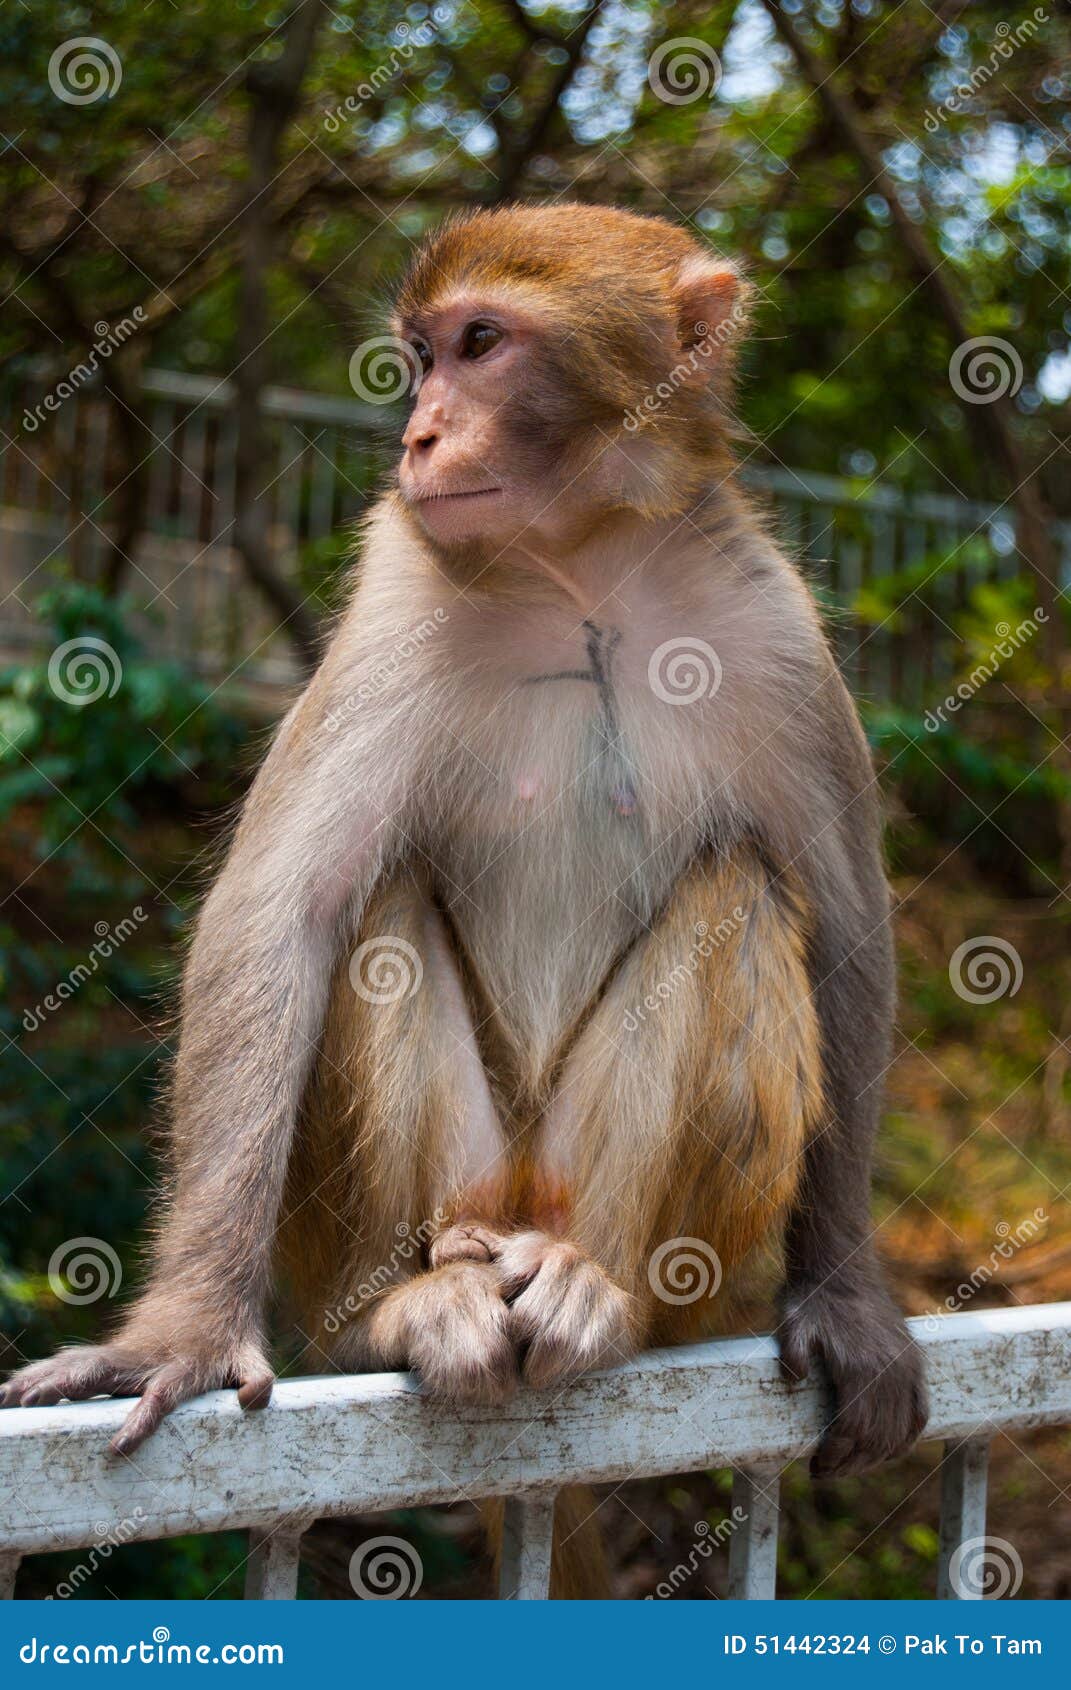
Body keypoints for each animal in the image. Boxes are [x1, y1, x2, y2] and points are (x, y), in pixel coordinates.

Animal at [2, 203, 927, 1594]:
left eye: (482, 344)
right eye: (419, 356)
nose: (419, 435)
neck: (583, 564)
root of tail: (511, 1213)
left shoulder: (776, 628)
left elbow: (851, 936)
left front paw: (844, 1297)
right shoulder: (395, 592)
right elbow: (281, 918)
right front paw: (183, 1329)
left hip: (621, 1213)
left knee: (743, 892)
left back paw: (598, 1289)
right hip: (415, 1203)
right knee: (378, 913)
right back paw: (410, 1304)